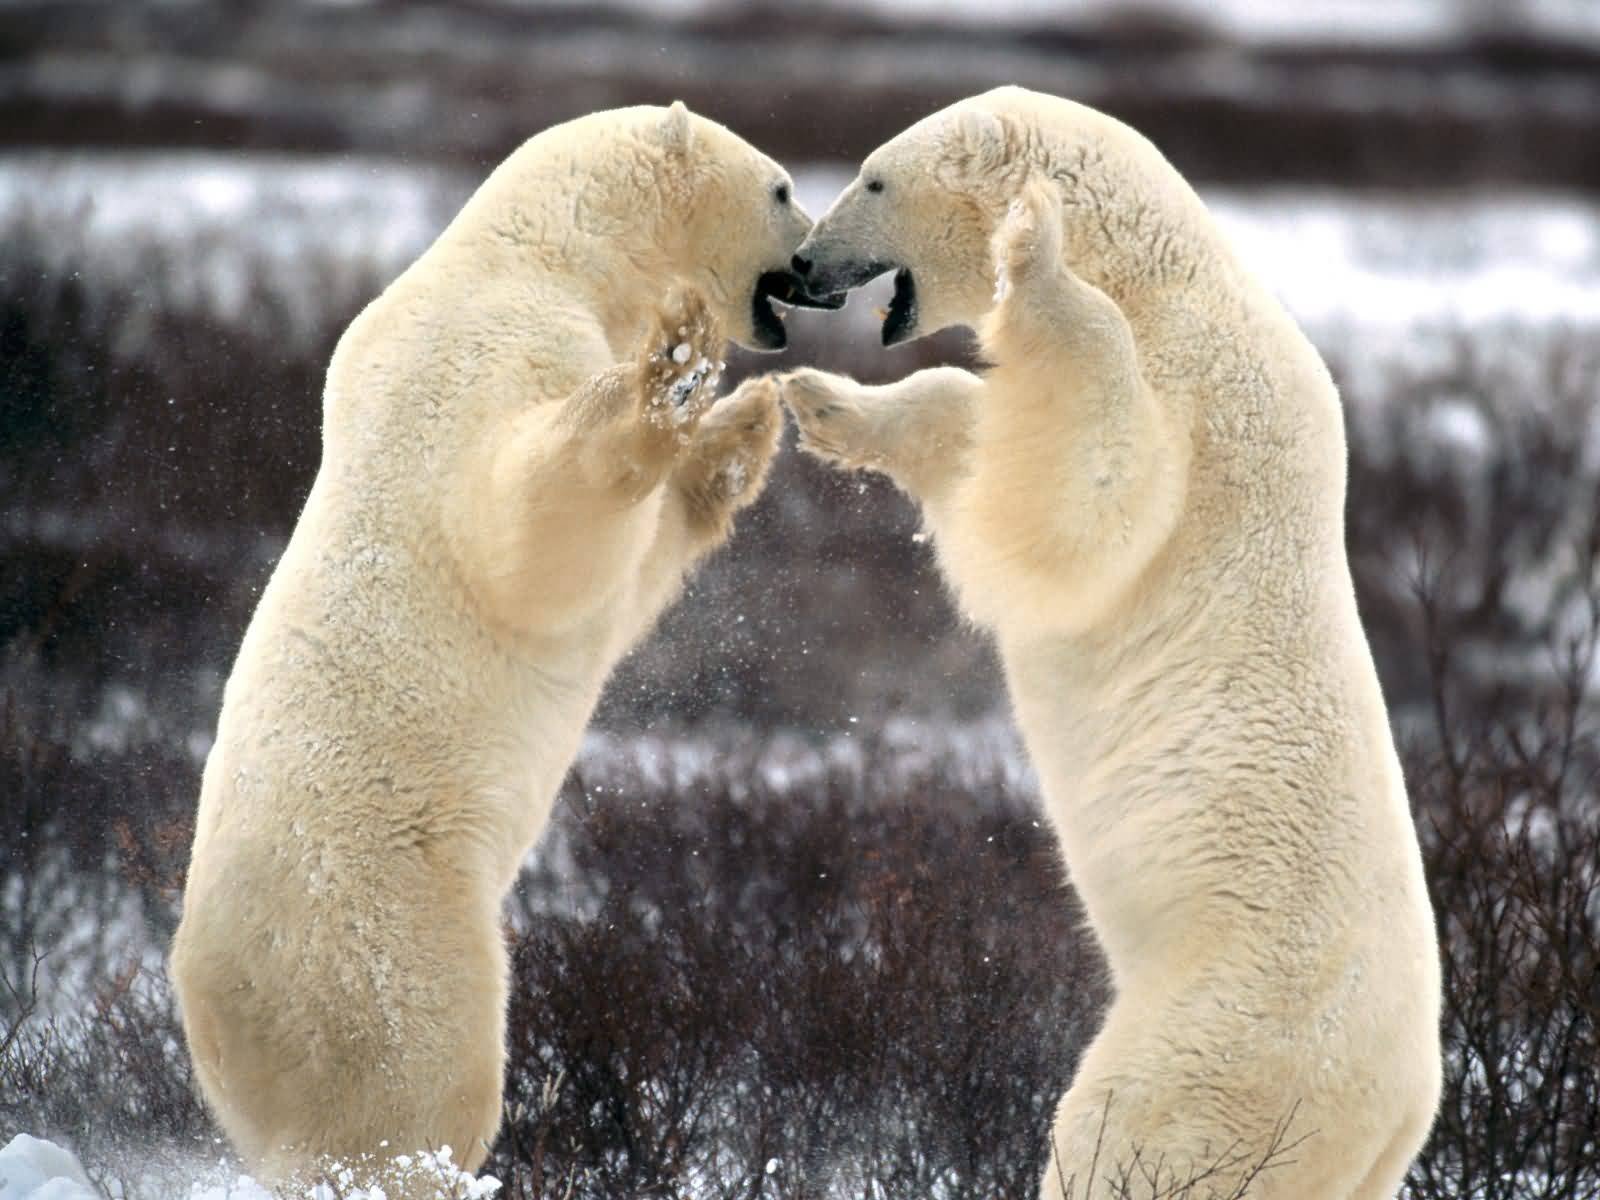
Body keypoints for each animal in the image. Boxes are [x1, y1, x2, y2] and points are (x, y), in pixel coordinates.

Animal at [168, 102, 824, 1194]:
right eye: (780, 188)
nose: (817, 261)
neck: (543, 254)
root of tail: (205, 1003)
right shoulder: (488, 356)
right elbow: (534, 531)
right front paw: (673, 369)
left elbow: (640, 563)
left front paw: (745, 422)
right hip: (378, 925)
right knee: (419, 1077)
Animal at [779, 86, 1442, 1199]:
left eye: (872, 179)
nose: (801, 265)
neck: (1164, 284)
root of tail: (1398, 1119)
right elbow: (980, 428)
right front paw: (823, 404)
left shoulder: (1207, 415)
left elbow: (1090, 494)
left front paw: (1030, 246)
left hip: (1223, 1041)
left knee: (1125, 1137)